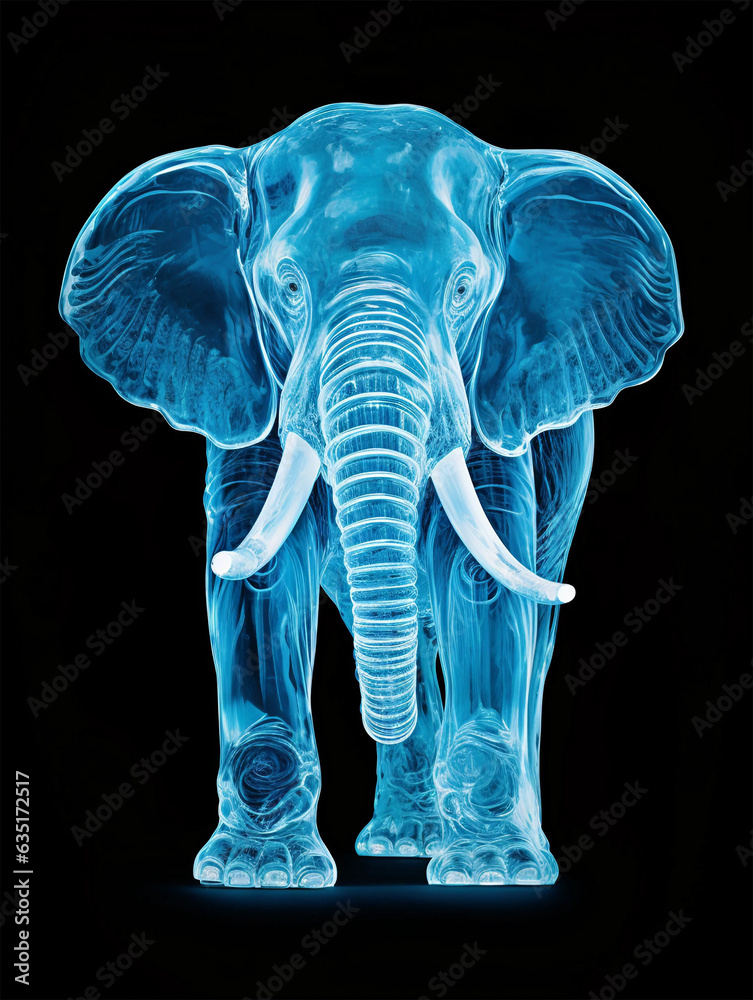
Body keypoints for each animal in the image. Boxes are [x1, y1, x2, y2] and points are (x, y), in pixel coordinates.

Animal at [59, 102, 683, 887]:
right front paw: (256, 873)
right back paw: (404, 842)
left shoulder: (487, 396)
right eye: (288, 288)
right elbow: (263, 572)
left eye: (464, 289)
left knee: (528, 633)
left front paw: (493, 872)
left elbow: (478, 570)